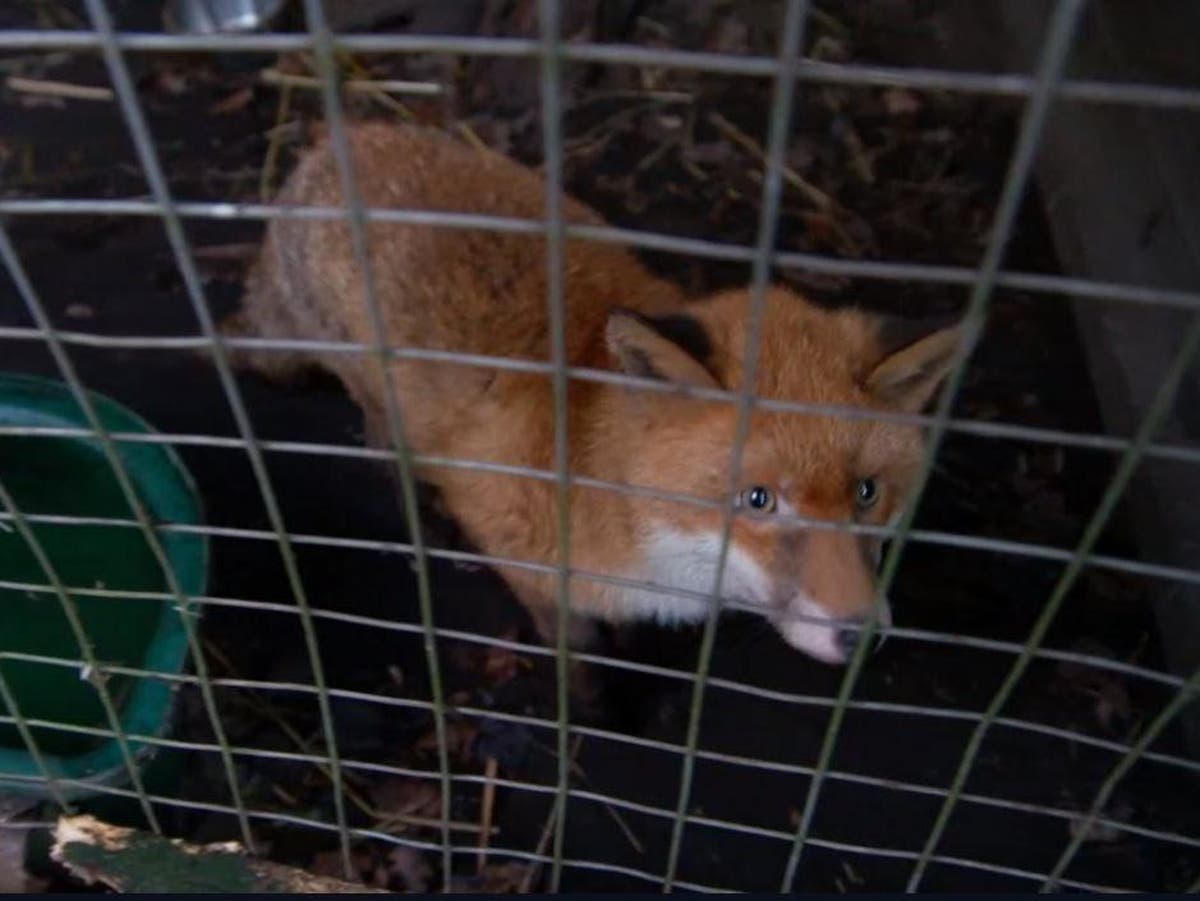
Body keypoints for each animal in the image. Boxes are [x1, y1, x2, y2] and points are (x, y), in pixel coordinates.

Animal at [221, 122, 960, 667]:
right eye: (757, 500)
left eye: (867, 492)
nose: (859, 635)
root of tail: (334, 139)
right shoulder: (527, 556)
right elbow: (572, 647)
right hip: (368, 386)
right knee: (381, 444)